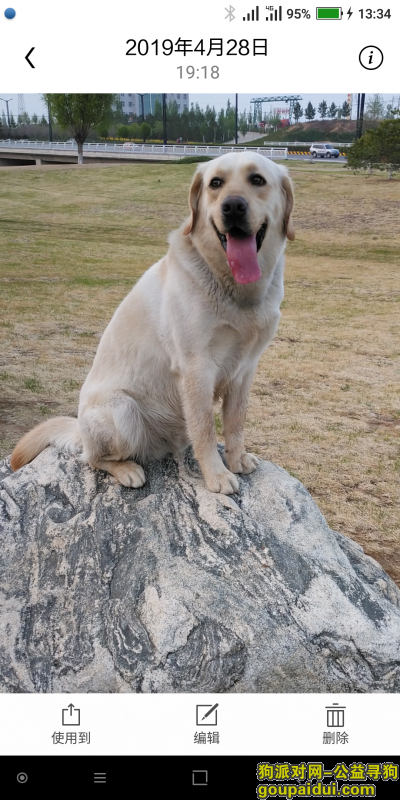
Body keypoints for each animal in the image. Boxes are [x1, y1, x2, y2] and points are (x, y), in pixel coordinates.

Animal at [11, 152, 294, 494]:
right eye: (216, 183)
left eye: (257, 180)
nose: (233, 206)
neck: (236, 290)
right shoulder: (196, 368)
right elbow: (206, 431)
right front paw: (216, 475)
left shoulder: (245, 369)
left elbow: (236, 422)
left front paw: (237, 460)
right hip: (122, 410)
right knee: (91, 458)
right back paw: (126, 469)